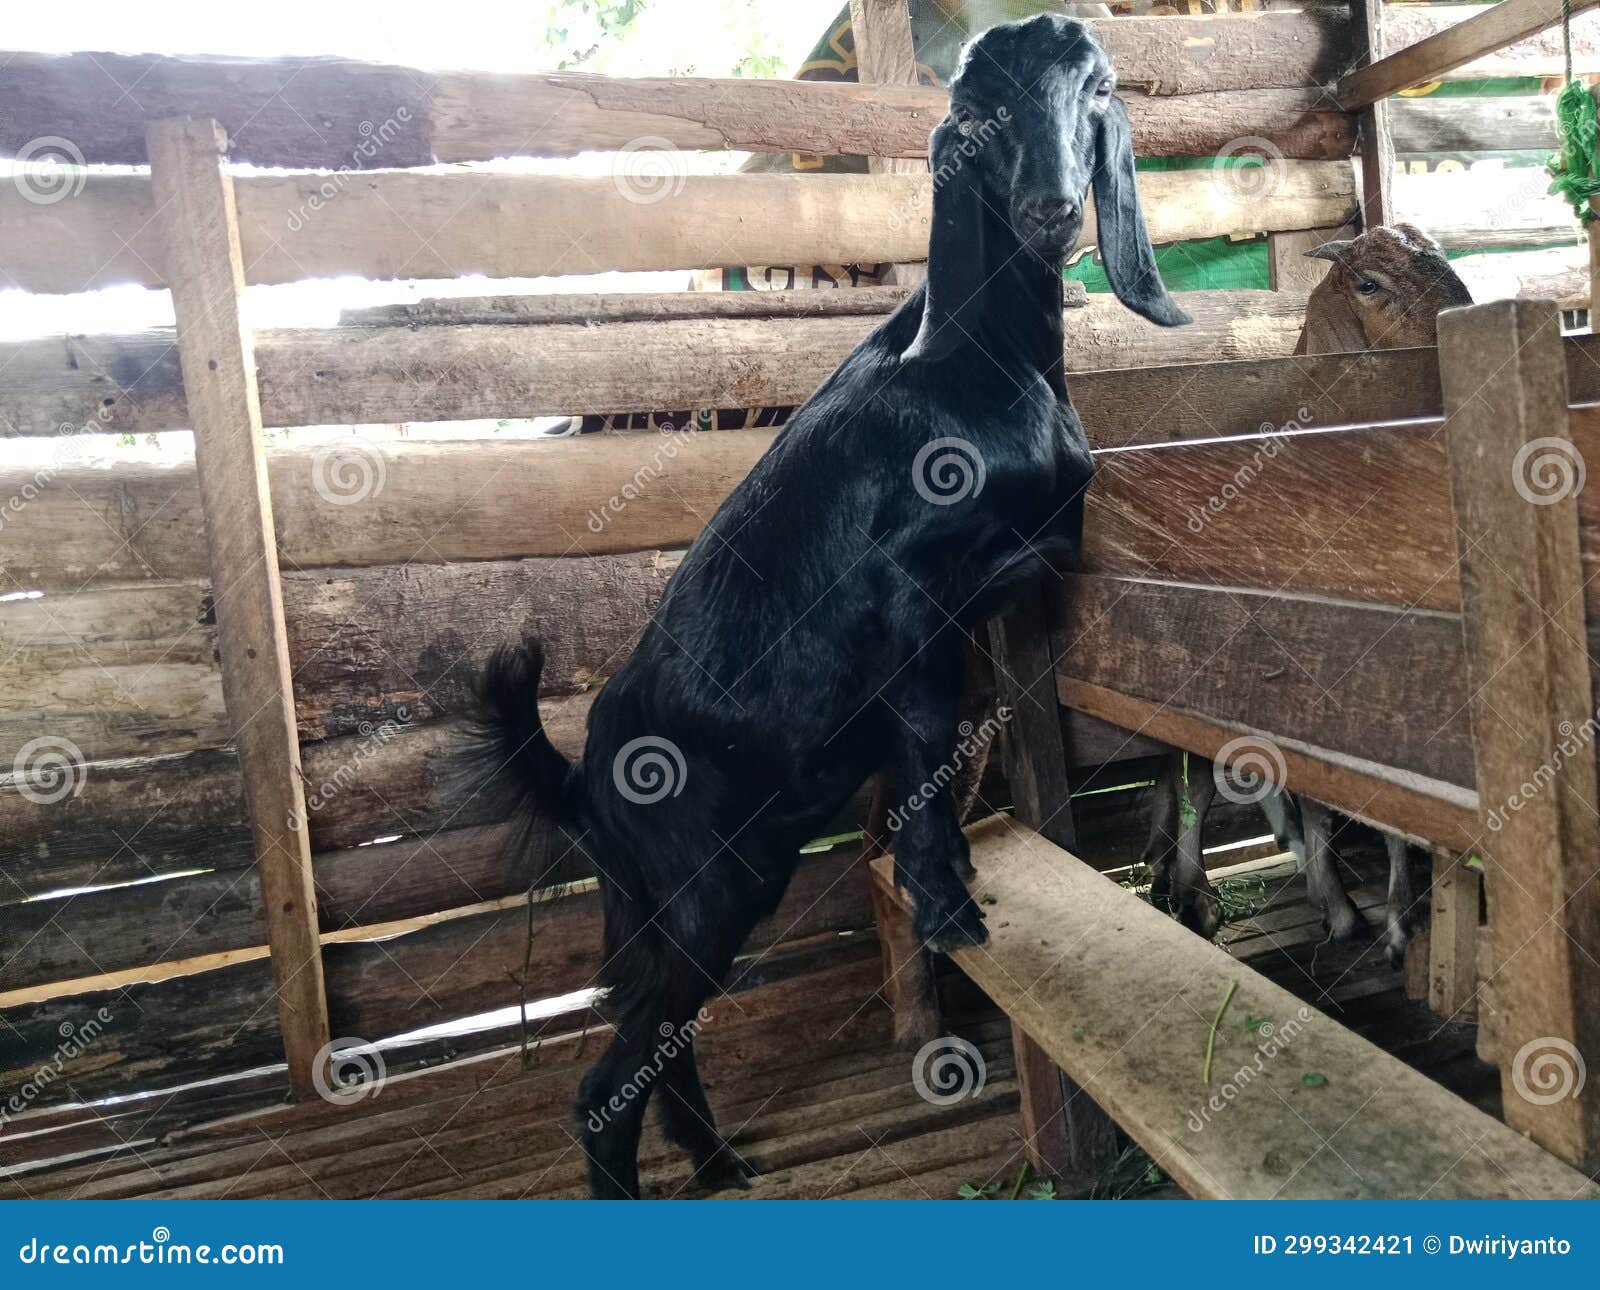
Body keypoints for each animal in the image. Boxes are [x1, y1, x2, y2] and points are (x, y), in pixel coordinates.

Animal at [465, 14, 1187, 1199]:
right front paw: (946, 902)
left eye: (1097, 90)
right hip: (705, 888)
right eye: (979, 107)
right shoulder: (910, 591)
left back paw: (720, 1166)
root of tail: (587, 782)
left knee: (662, 1043)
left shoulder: (1008, 586)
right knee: (602, 1087)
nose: (1050, 210)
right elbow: (928, 729)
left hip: (665, 902)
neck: (978, 372)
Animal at [1147, 224, 1470, 961]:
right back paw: (1192, 890)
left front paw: (1398, 915)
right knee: (1188, 776)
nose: (1462, 315)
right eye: (1369, 283)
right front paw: (1351, 911)